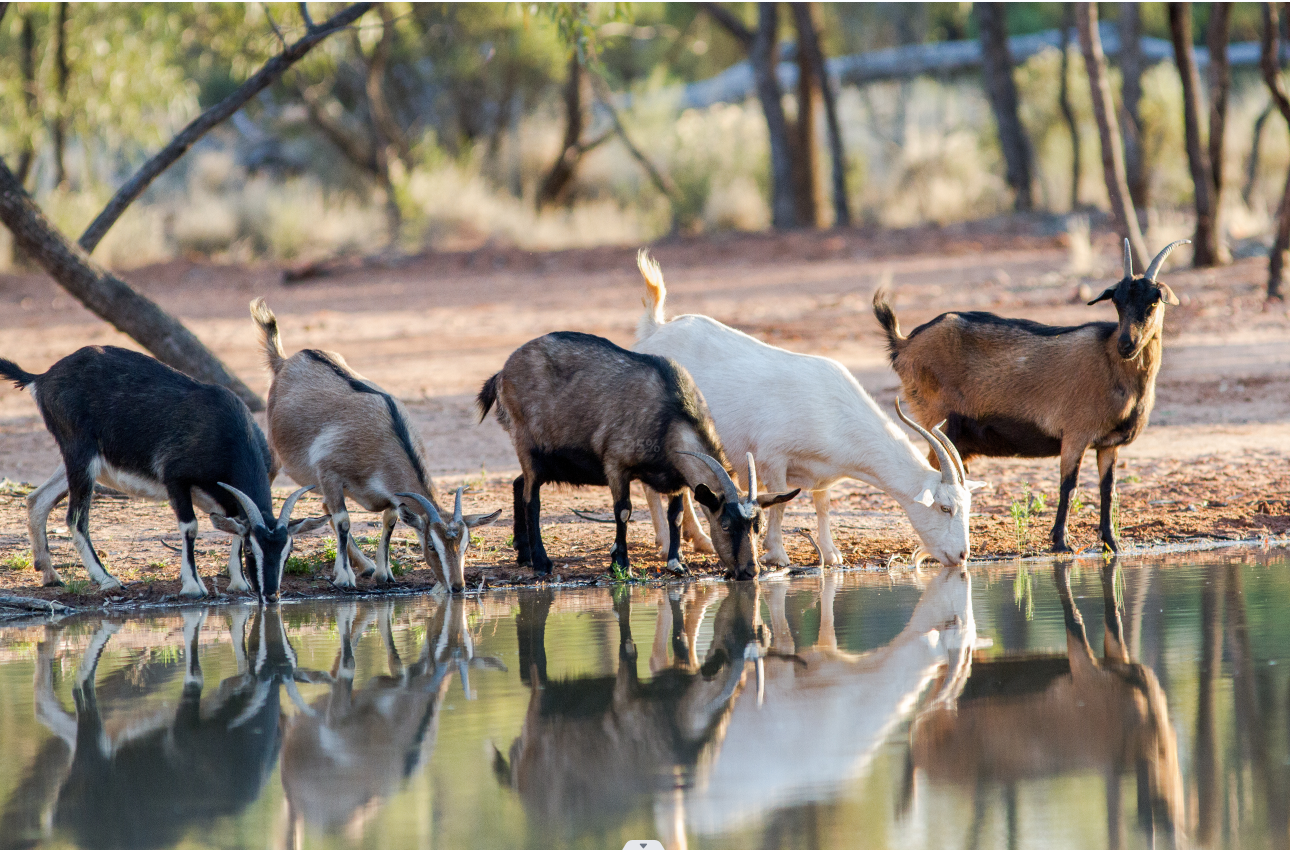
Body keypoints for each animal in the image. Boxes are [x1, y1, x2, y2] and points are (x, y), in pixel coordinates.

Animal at [0, 346, 324, 601]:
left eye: (287, 551)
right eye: (251, 551)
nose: (271, 595)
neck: (225, 430)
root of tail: (42, 378)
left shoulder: (225, 497)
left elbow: (231, 524)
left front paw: (238, 582)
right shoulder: (175, 479)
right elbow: (190, 527)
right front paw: (193, 586)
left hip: (78, 463)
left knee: (37, 500)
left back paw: (49, 574)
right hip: (82, 457)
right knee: (76, 517)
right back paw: (107, 580)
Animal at [251, 299, 500, 593]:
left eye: (465, 544)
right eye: (431, 545)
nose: (457, 586)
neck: (385, 438)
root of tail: (284, 362)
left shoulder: (388, 495)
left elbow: (388, 520)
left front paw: (383, 572)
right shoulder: (330, 473)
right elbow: (344, 521)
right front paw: (344, 577)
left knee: (324, 508)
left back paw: (366, 565)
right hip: (275, 456)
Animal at [477, 331, 798, 580]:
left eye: (757, 527)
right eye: (725, 525)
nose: (750, 572)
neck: (670, 415)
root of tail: (502, 373)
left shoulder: (676, 478)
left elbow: (676, 516)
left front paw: (676, 563)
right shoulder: (615, 465)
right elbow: (623, 511)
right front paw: (621, 563)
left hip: (542, 459)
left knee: (519, 483)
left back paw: (524, 554)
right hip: (527, 443)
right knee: (532, 499)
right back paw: (541, 563)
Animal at [633, 250, 979, 569]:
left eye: (967, 506)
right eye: (945, 507)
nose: (961, 556)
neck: (834, 410)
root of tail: (654, 330)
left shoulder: (824, 473)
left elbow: (822, 505)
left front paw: (831, 554)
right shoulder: (772, 457)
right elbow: (780, 502)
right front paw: (777, 554)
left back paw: (700, 540)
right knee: (651, 486)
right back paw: (664, 543)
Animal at [874, 239, 1188, 553]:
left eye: (1153, 302)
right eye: (1117, 302)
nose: (1127, 344)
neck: (1111, 361)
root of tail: (903, 343)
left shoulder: (1109, 445)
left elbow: (1107, 490)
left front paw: (1112, 544)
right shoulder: (1075, 435)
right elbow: (1069, 486)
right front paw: (1061, 543)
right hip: (937, 420)